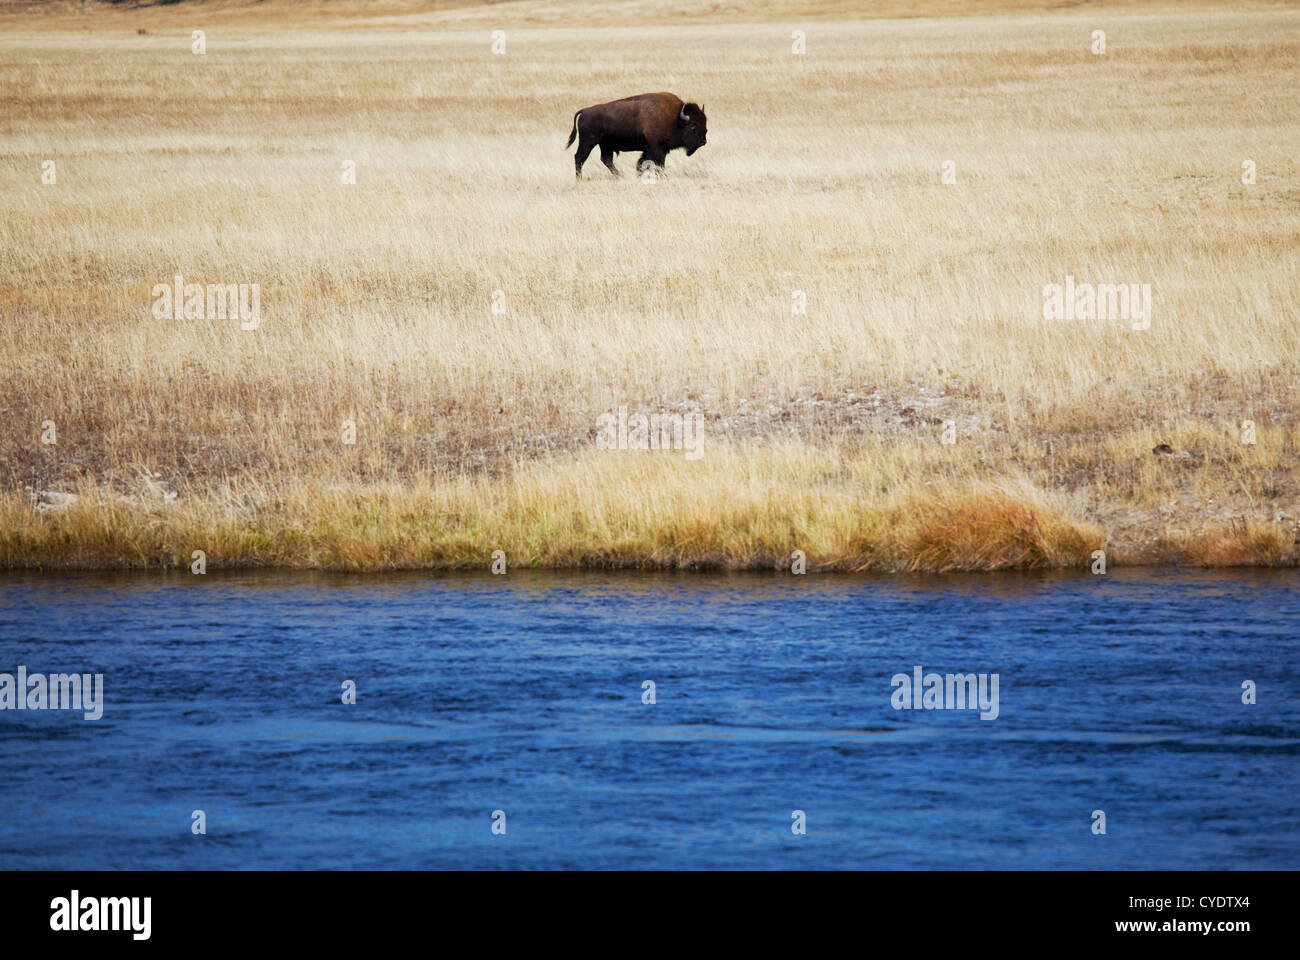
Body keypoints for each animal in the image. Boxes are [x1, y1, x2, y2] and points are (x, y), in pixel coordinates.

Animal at [565, 92, 707, 179]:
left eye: (705, 122)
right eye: (693, 125)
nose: (703, 142)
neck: (675, 119)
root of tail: (585, 111)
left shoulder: (657, 149)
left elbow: (643, 162)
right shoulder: (656, 148)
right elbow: (657, 164)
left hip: (605, 145)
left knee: (606, 159)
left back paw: (619, 176)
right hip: (588, 142)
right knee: (579, 158)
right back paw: (579, 179)